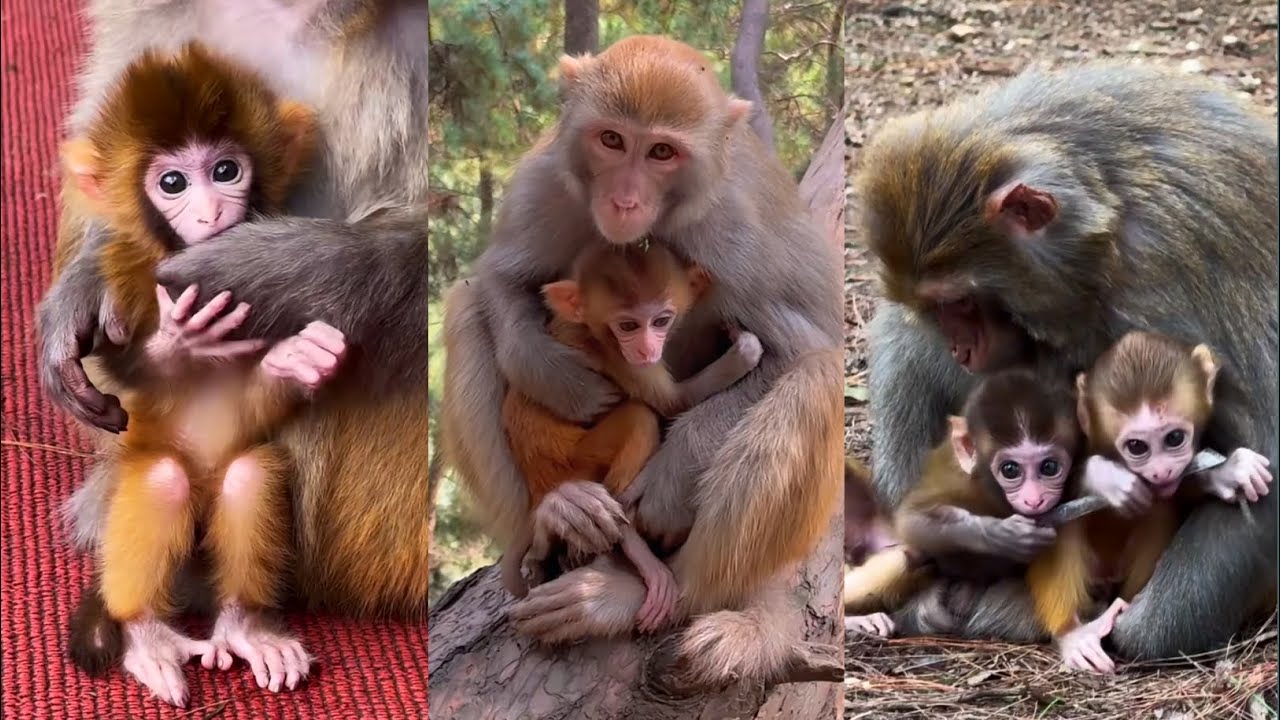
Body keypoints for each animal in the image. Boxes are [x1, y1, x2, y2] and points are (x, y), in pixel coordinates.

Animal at [498, 242, 763, 636]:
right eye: (627, 325)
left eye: (661, 321)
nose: (647, 349)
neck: (590, 329)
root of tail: (539, 483)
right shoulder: (618, 358)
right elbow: (674, 402)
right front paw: (745, 349)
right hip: (575, 457)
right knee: (640, 418)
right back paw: (633, 540)